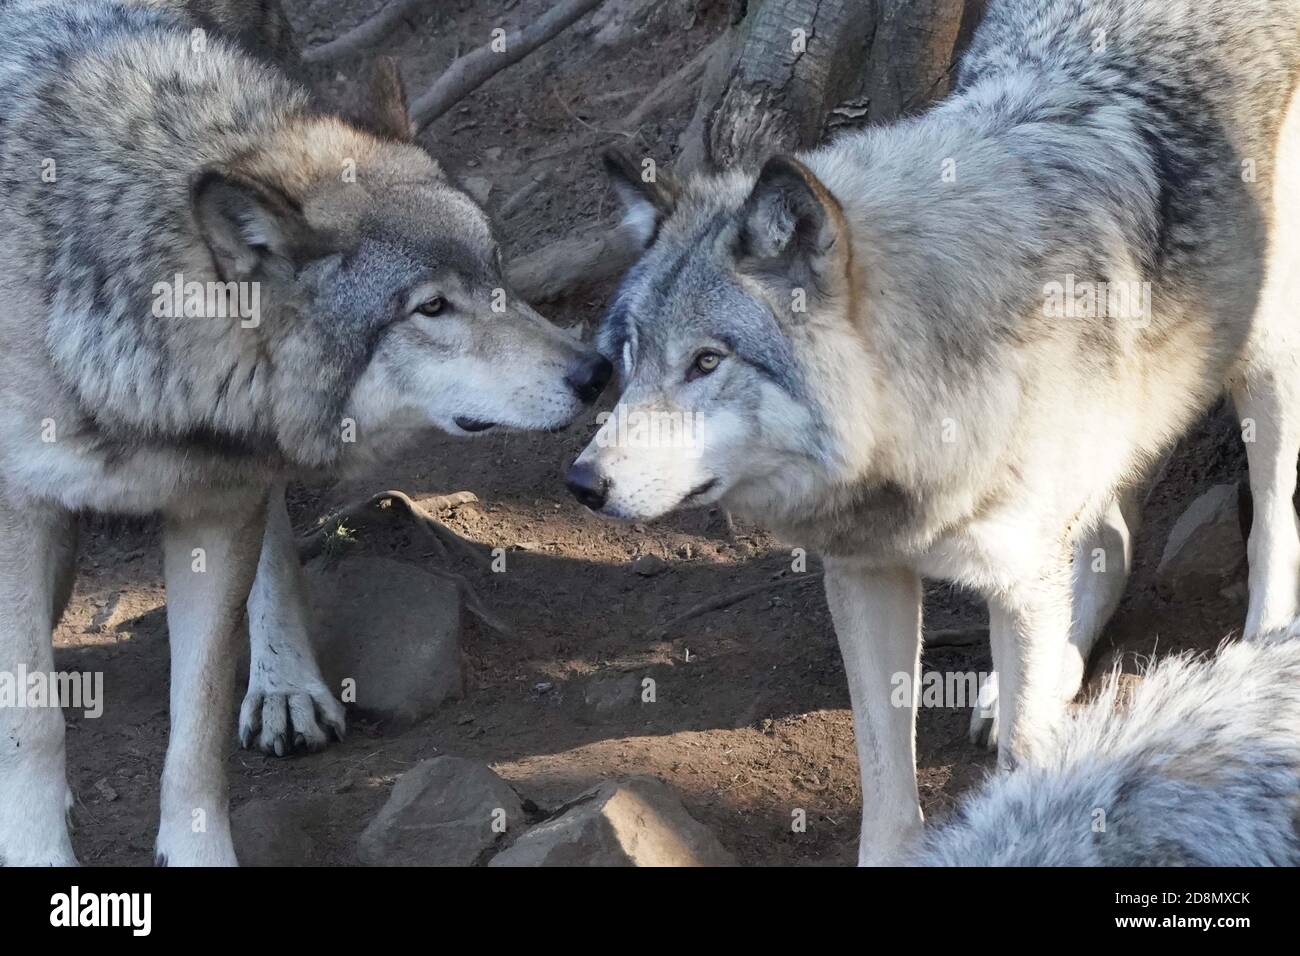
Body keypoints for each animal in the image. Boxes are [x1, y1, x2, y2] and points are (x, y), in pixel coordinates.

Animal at [0, 0, 610, 866]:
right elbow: (31, 720)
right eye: (431, 307)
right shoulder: (20, 513)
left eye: (497, 272)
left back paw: (287, 686)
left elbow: (199, 728)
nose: (595, 371)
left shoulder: (214, 506)